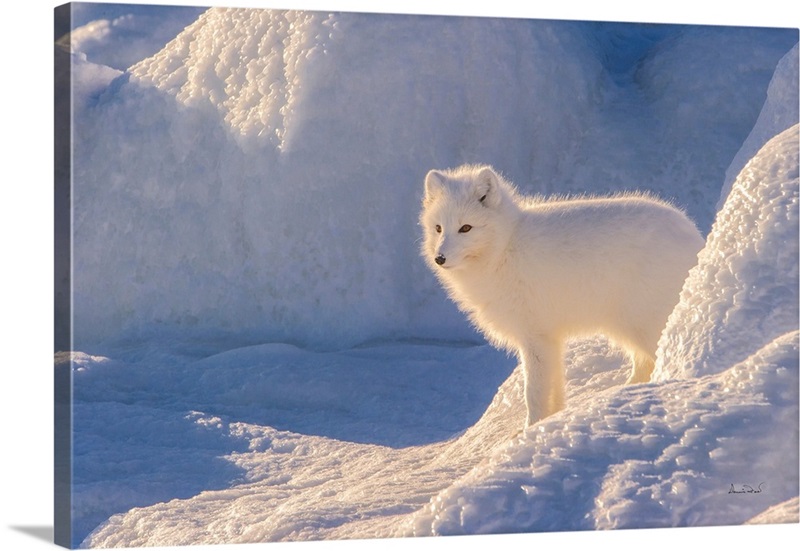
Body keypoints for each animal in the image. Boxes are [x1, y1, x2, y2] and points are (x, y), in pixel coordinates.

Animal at [420, 164, 705, 427]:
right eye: (438, 228)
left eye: (466, 228)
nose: (439, 258)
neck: (504, 248)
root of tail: (696, 238)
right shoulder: (550, 338)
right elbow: (555, 389)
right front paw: (552, 420)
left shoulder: (534, 337)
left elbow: (533, 392)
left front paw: (530, 430)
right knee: (643, 363)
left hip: (643, 323)